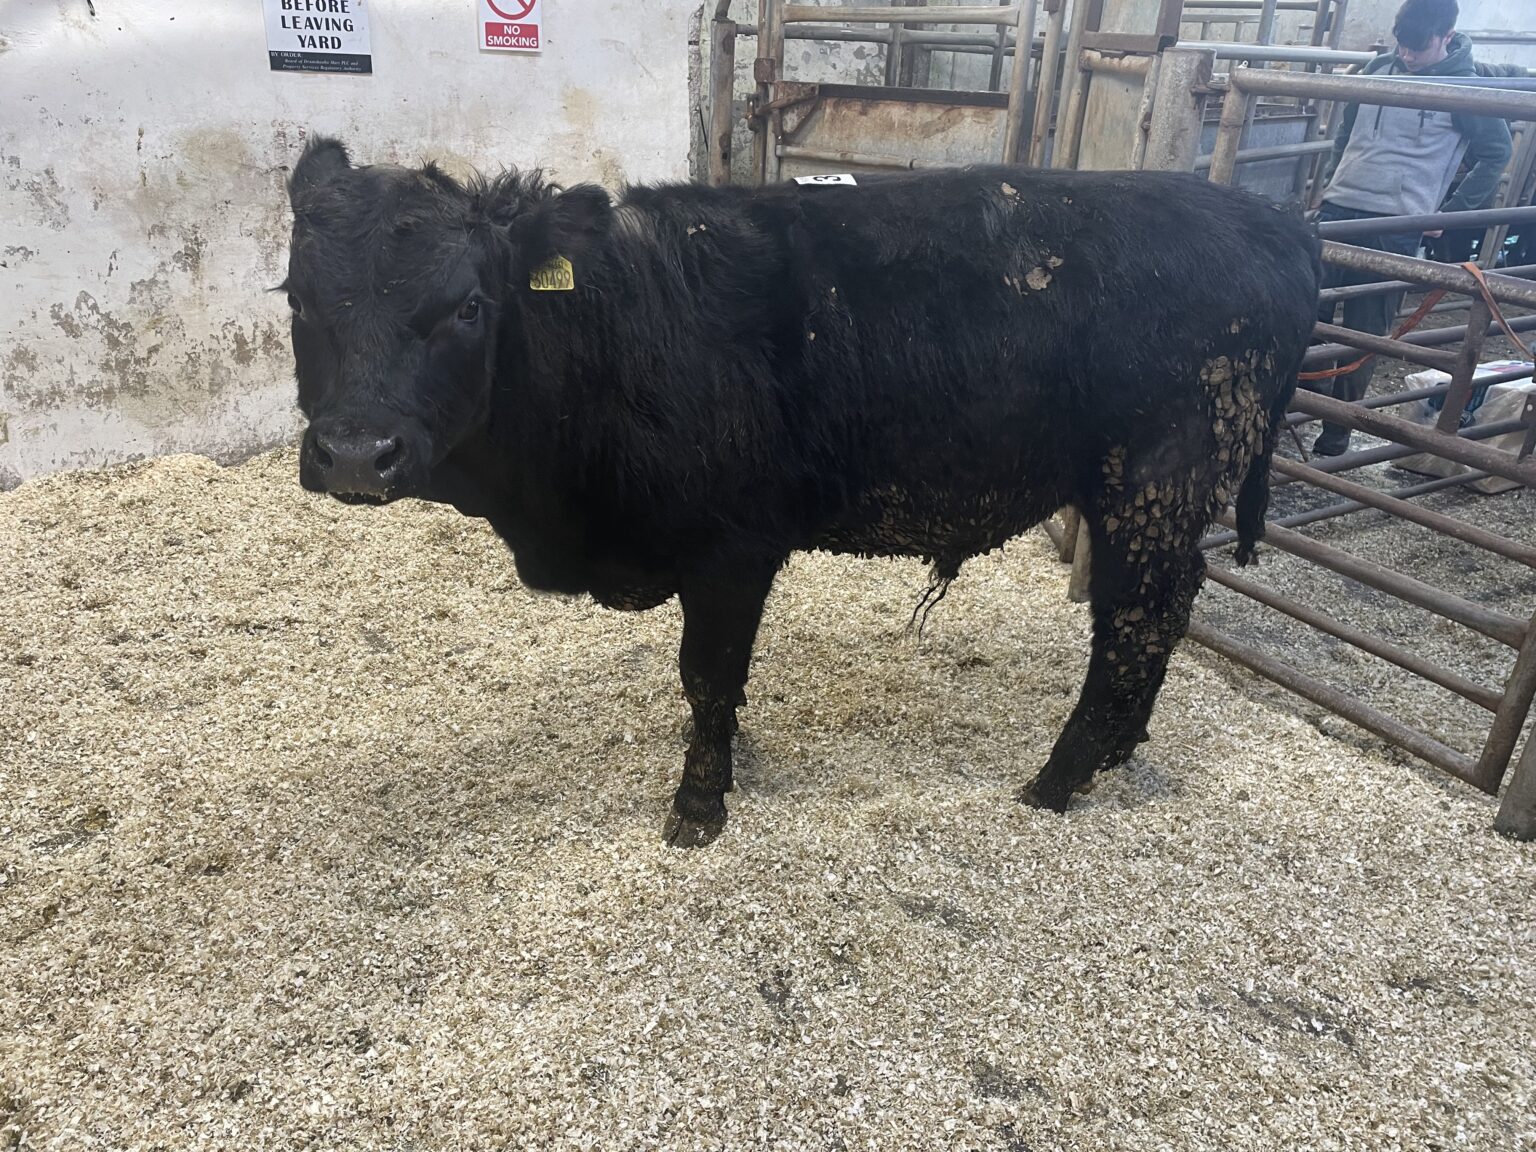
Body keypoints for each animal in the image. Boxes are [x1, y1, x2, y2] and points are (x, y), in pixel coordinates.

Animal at [280, 137, 1320, 847]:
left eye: (468, 306)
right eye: (295, 296)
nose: (356, 453)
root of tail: (1267, 217)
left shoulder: (732, 549)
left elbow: (708, 678)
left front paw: (698, 807)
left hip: (1155, 481)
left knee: (1135, 621)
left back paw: (1056, 783)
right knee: (1163, 612)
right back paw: (1119, 752)